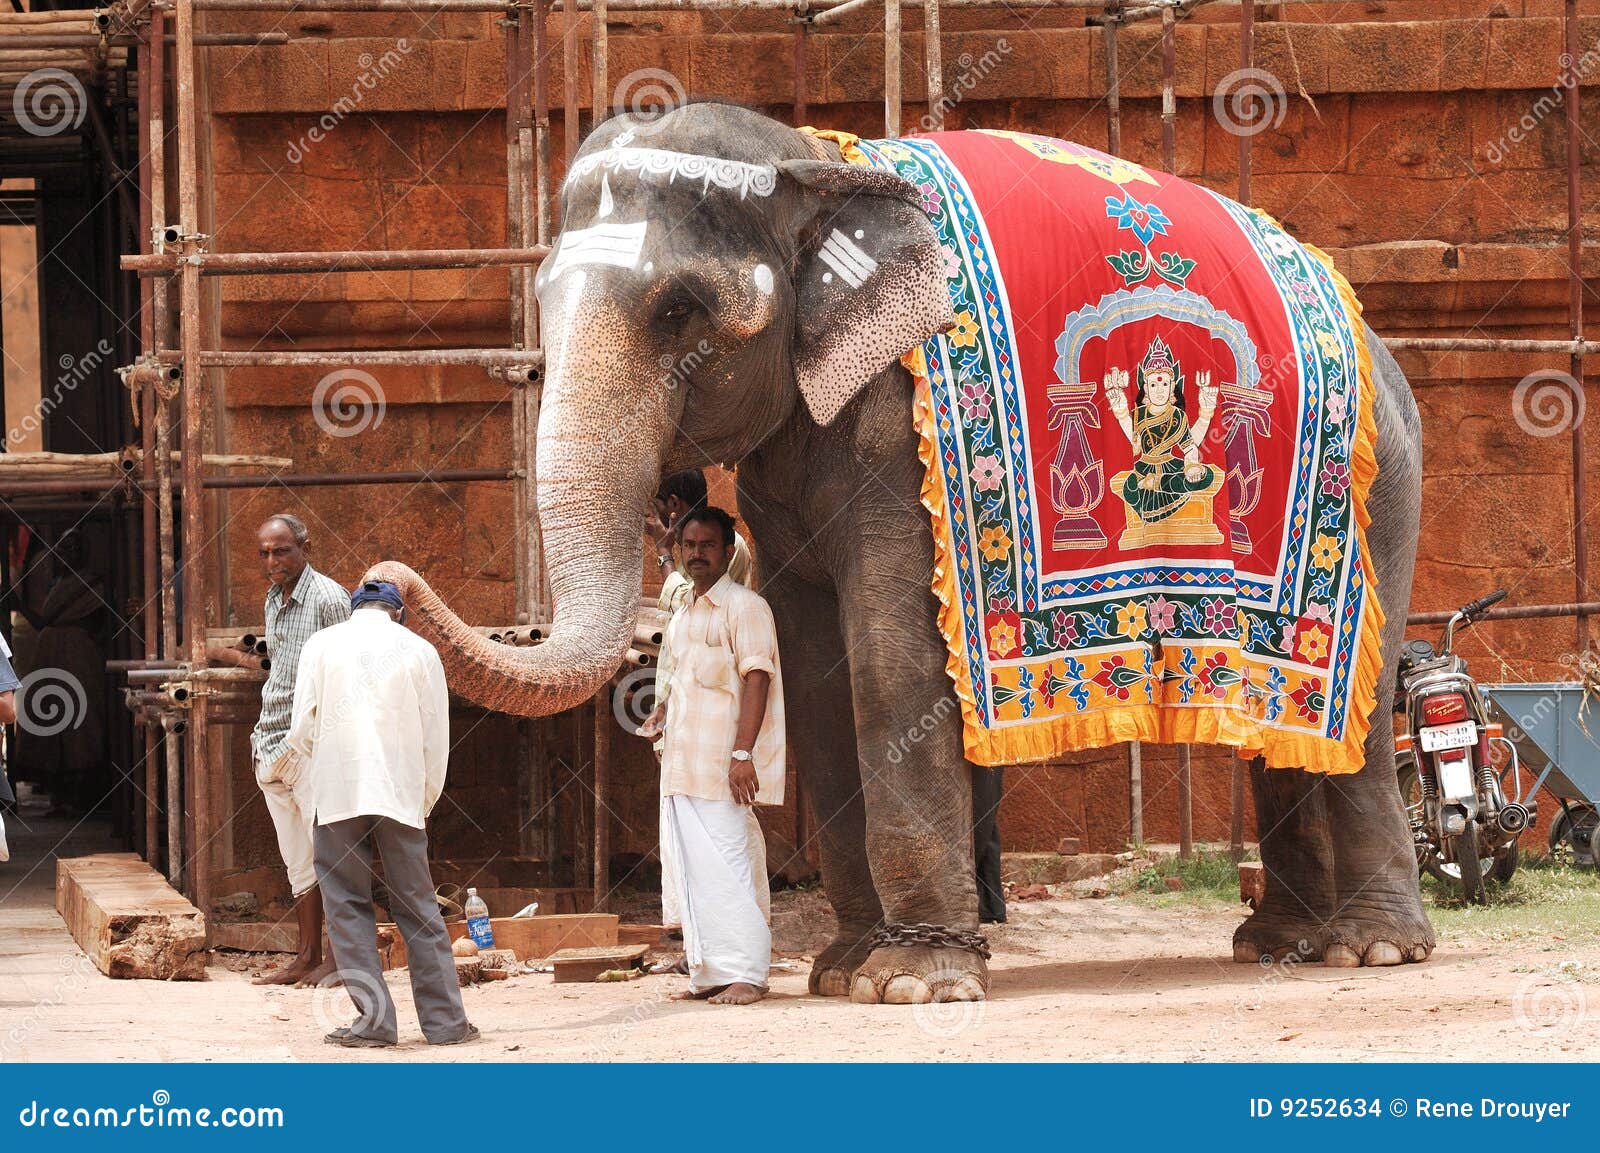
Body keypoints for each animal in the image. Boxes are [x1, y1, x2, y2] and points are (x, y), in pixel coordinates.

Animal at [370, 100, 1434, 1004]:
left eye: (680, 314)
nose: (385, 576)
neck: (808, 161)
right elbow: (810, 667)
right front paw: (841, 970)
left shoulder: (898, 427)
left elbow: (888, 662)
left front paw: (910, 982)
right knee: (1279, 727)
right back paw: (1280, 944)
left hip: (1377, 491)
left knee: (1359, 710)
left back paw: (1374, 948)